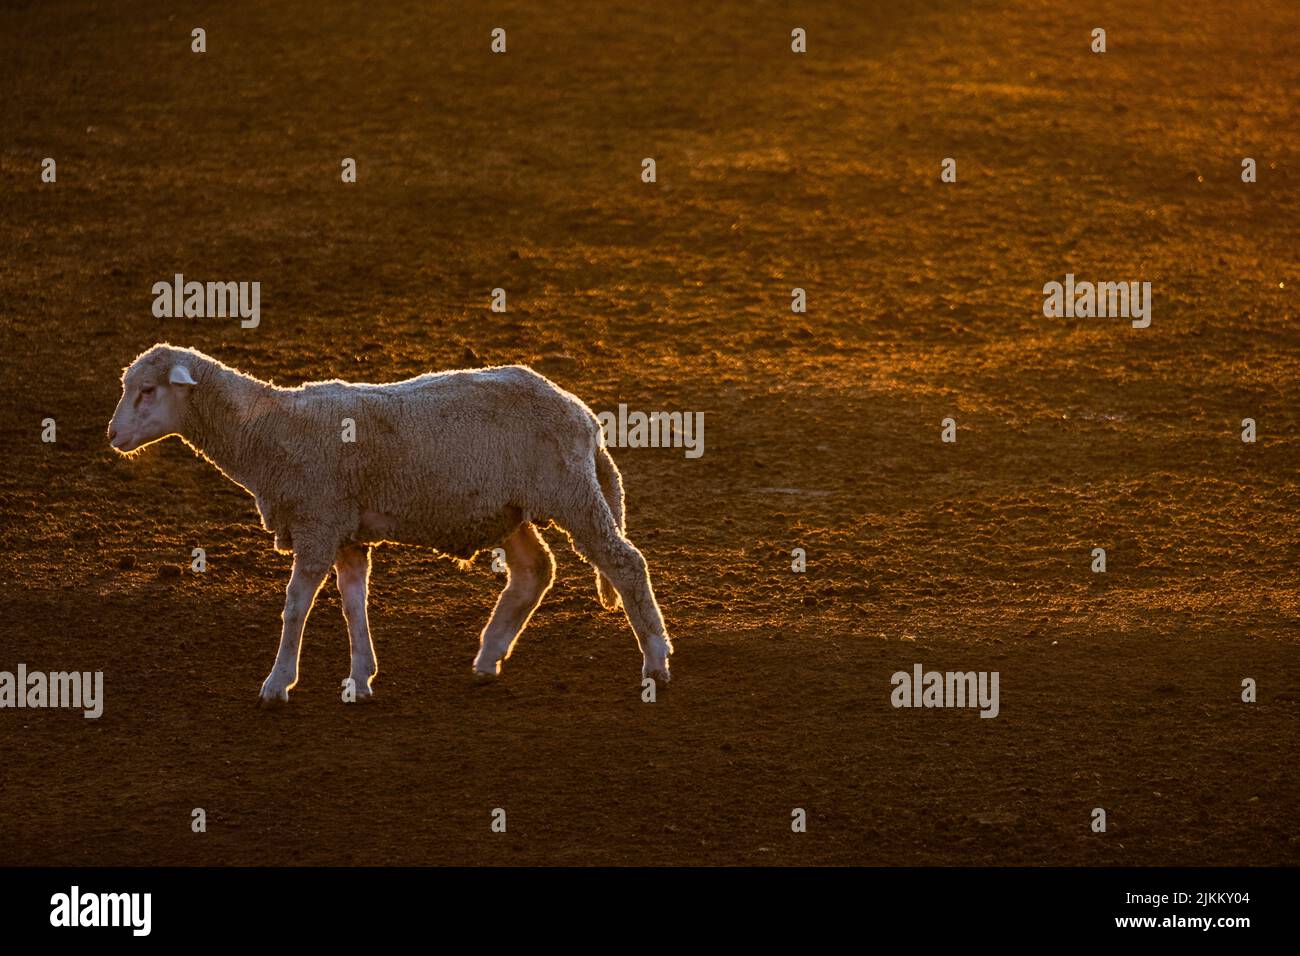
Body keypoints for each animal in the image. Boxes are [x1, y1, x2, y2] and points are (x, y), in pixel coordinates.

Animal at [107, 343, 672, 705]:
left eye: (148, 390)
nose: (112, 435)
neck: (269, 429)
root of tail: (581, 413)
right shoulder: (345, 531)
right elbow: (353, 603)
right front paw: (360, 678)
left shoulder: (319, 520)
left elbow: (295, 606)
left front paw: (277, 684)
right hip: (510, 507)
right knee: (535, 572)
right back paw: (489, 657)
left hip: (570, 492)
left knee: (626, 565)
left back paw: (657, 663)